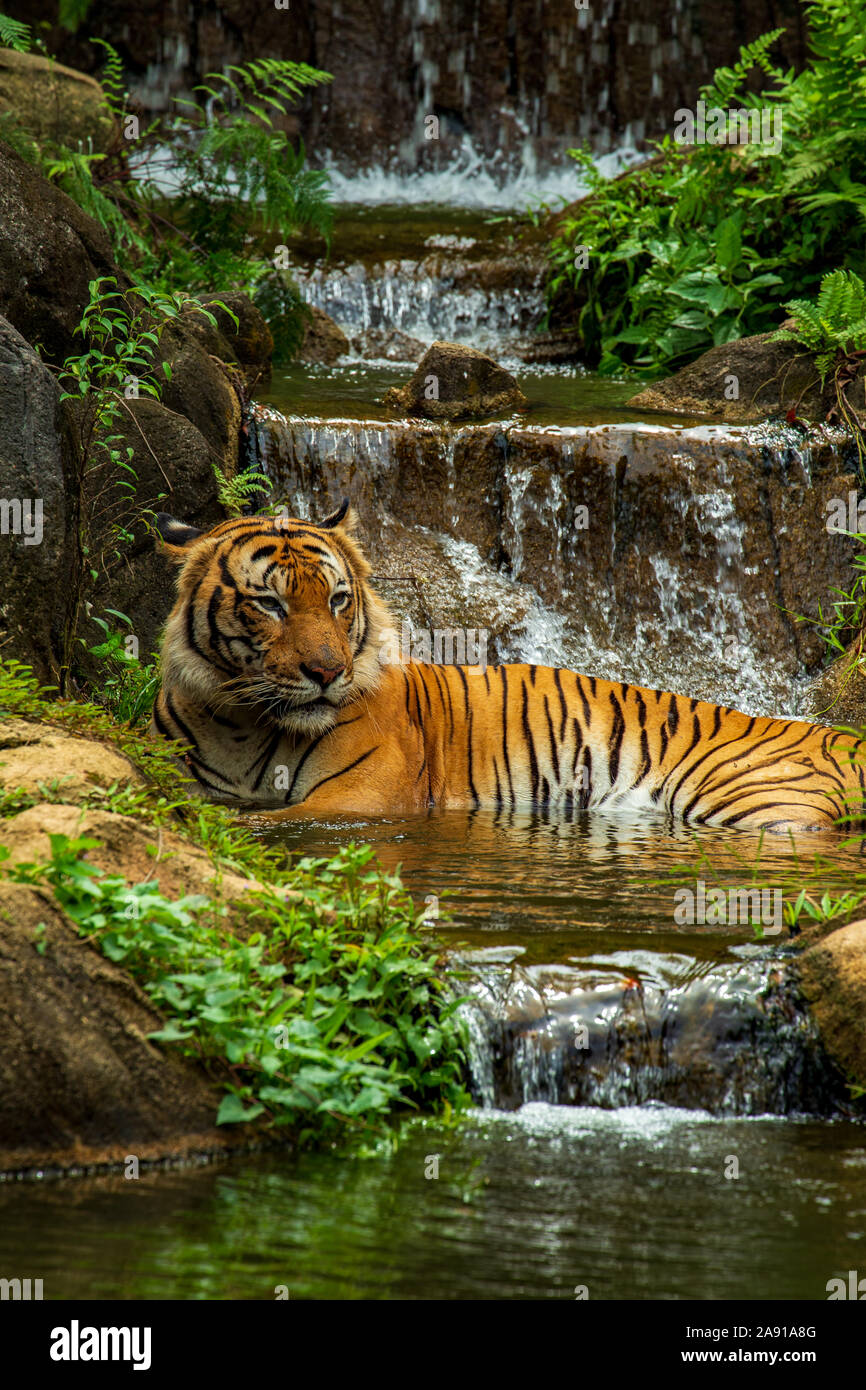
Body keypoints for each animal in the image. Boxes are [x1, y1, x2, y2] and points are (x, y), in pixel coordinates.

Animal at [151, 502, 866, 832]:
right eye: (269, 603)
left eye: (336, 599)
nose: (328, 674)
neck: (241, 724)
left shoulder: (365, 796)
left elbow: (266, 819)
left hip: (755, 797)